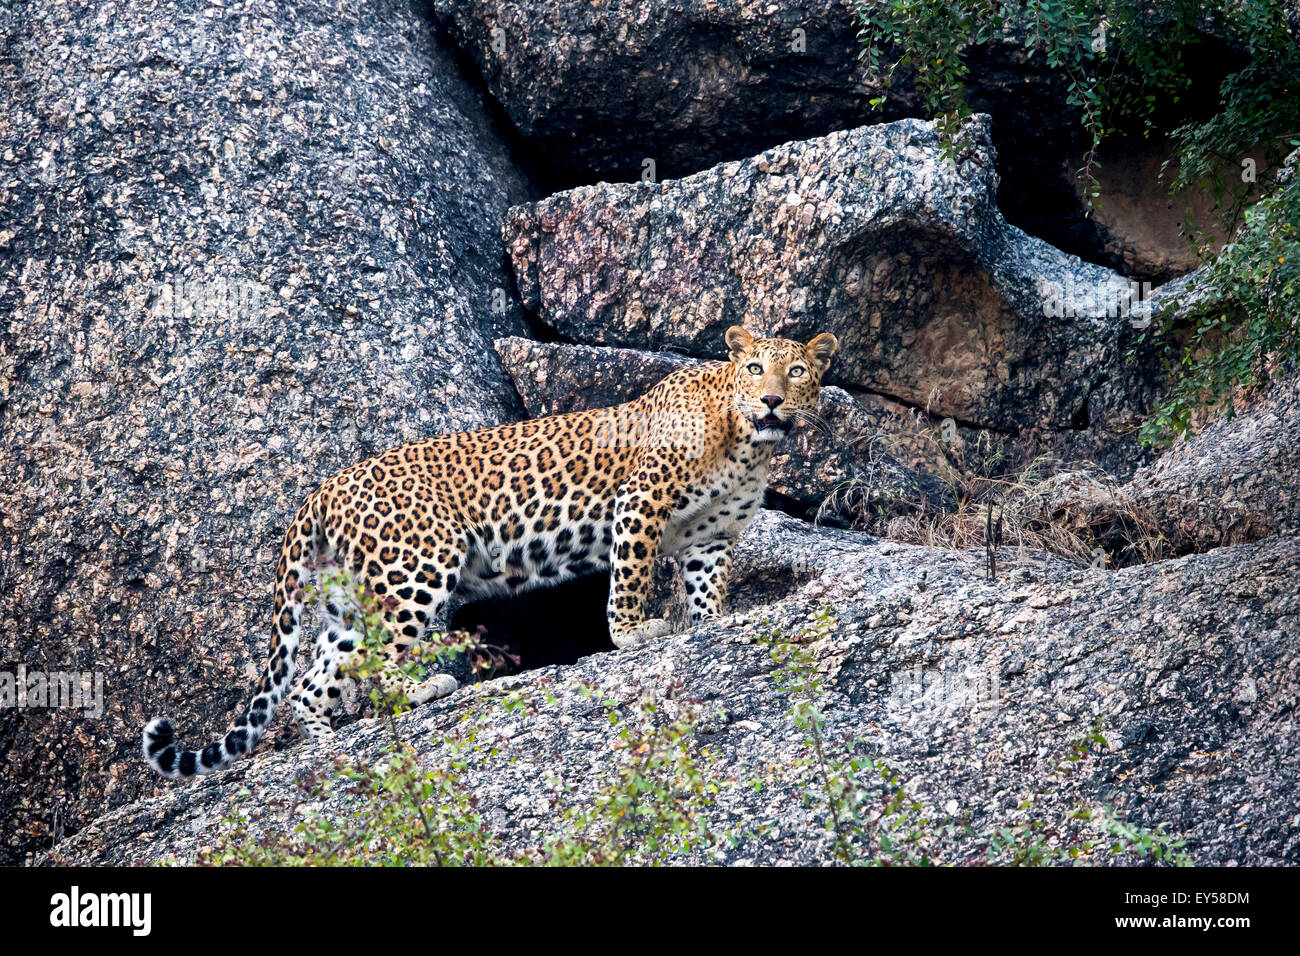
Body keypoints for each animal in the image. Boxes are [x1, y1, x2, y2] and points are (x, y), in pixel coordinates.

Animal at [143, 325, 839, 778]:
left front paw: (712, 623)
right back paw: (423, 690)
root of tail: (321, 489)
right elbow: (631, 576)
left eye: (797, 372)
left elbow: (704, 587)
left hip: (349, 599)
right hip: (416, 566)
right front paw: (633, 633)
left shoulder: (713, 540)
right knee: (377, 658)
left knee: (315, 680)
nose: (772, 400)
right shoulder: (640, 501)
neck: (745, 444)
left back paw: (328, 747)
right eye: (755, 370)